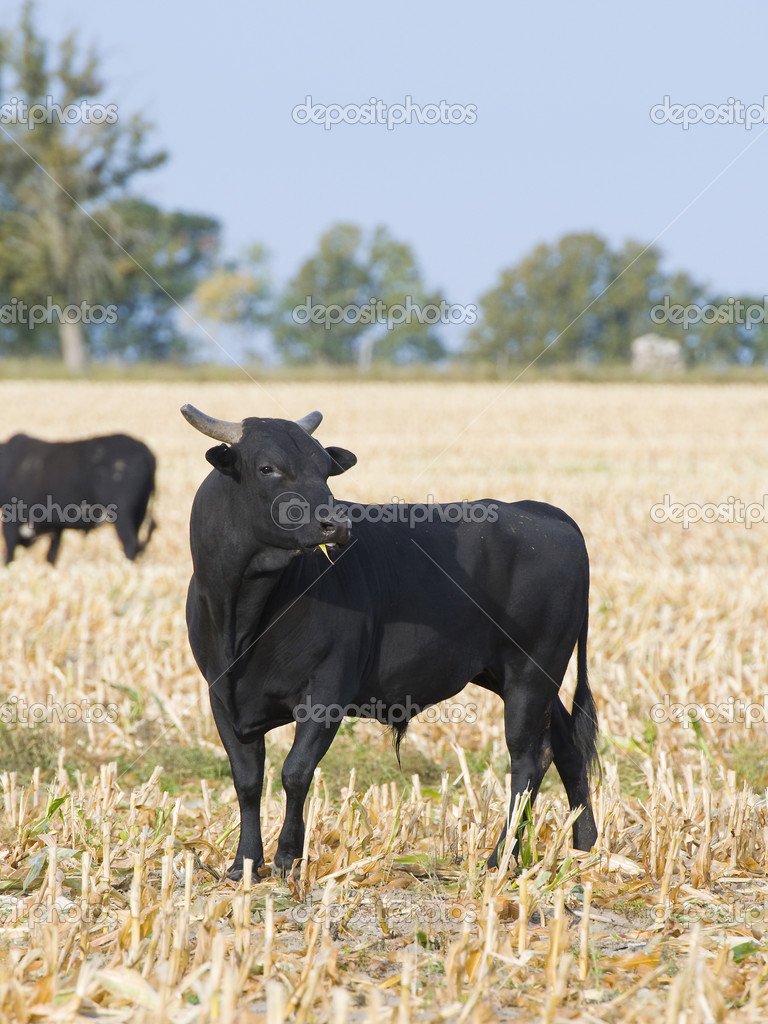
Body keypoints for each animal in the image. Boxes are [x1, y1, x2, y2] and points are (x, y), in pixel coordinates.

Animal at [0, 432, 157, 565]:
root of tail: (144, 450)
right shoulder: (56, 528)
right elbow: (51, 557)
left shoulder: (10, 523)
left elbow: (9, 557)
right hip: (139, 513)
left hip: (123, 515)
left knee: (129, 542)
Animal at [182, 403, 599, 878]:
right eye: (267, 468)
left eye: (325, 470)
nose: (336, 524)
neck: (244, 615)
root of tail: (543, 513)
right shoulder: (222, 696)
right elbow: (248, 781)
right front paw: (244, 863)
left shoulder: (327, 690)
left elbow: (295, 771)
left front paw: (288, 858)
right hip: (515, 675)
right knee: (565, 744)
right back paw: (584, 847)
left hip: (531, 673)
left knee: (529, 757)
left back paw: (501, 858)